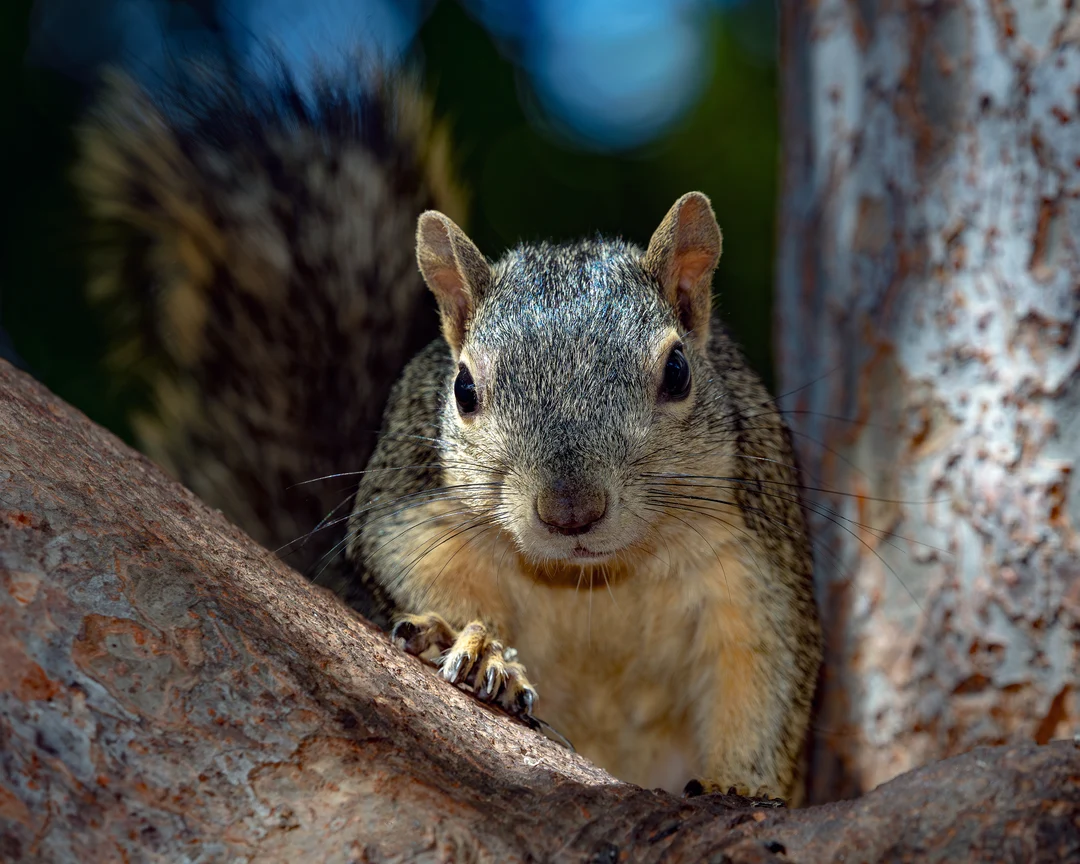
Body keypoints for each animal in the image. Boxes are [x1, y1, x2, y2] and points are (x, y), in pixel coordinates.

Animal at [75, 57, 823, 803]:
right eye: (463, 388)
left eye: (677, 371)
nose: (571, 511)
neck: (589, 581)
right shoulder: (411, 510)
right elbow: (411, 566)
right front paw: (473, 643)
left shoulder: (752, 552)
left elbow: (765, 671)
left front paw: (741, 787)